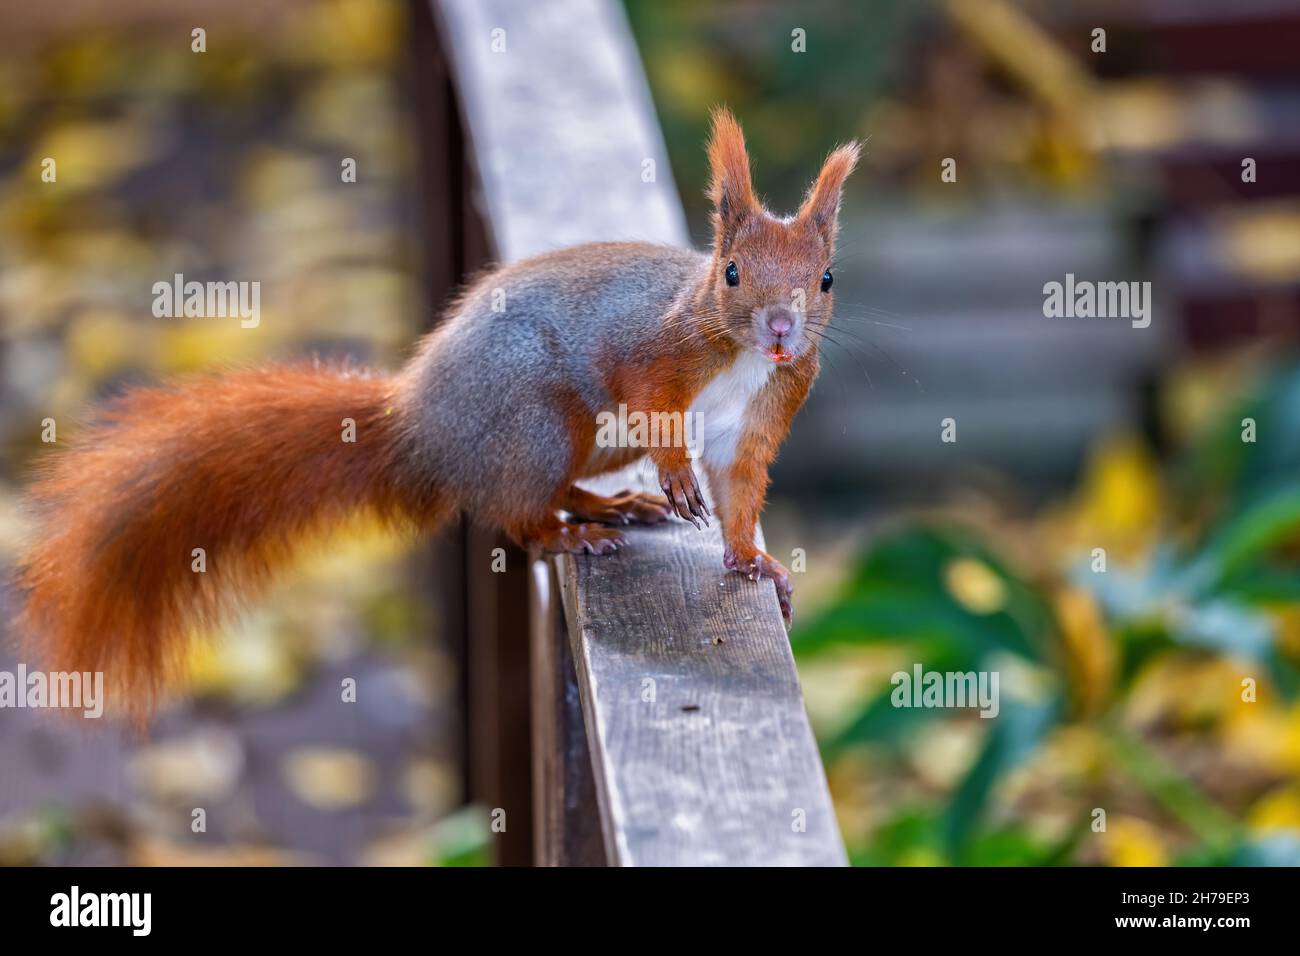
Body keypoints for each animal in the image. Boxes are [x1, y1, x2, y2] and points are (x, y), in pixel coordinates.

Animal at [15, 107, 859, 714]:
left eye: (825, 280)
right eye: (732, 272)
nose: (780, 330)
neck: (741, 357)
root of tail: (419, 425)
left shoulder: (763, 413)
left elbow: (741, 488)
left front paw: (754, 563)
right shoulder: (654, 351)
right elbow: (656, 409)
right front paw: (680, 478)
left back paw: (606, 505)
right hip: (540, 421)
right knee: (520, 518)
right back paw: (575, 533)